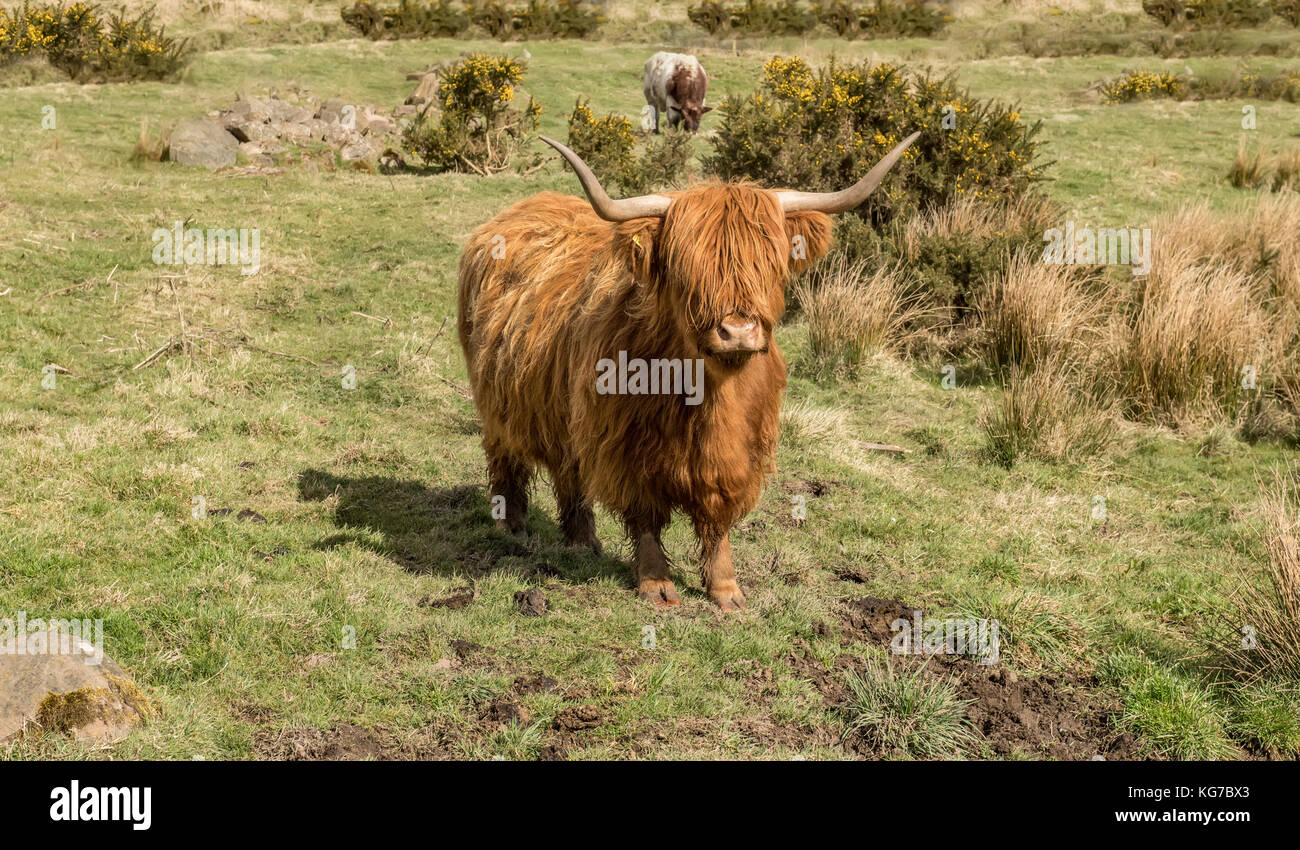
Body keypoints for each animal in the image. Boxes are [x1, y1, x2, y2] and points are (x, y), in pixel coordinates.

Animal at [457, 132, 919, 609]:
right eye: (687, 269)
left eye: (770, 263)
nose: (737, 332)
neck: (707, 395)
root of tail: (523, 208)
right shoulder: (626, 446)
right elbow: (645, 515)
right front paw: (656, 584)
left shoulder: (738, 450)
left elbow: (717, 516)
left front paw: (726, 589)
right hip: (498, 400)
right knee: (506, 453)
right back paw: (512, 523)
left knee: (570, 471)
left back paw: (583, 541)